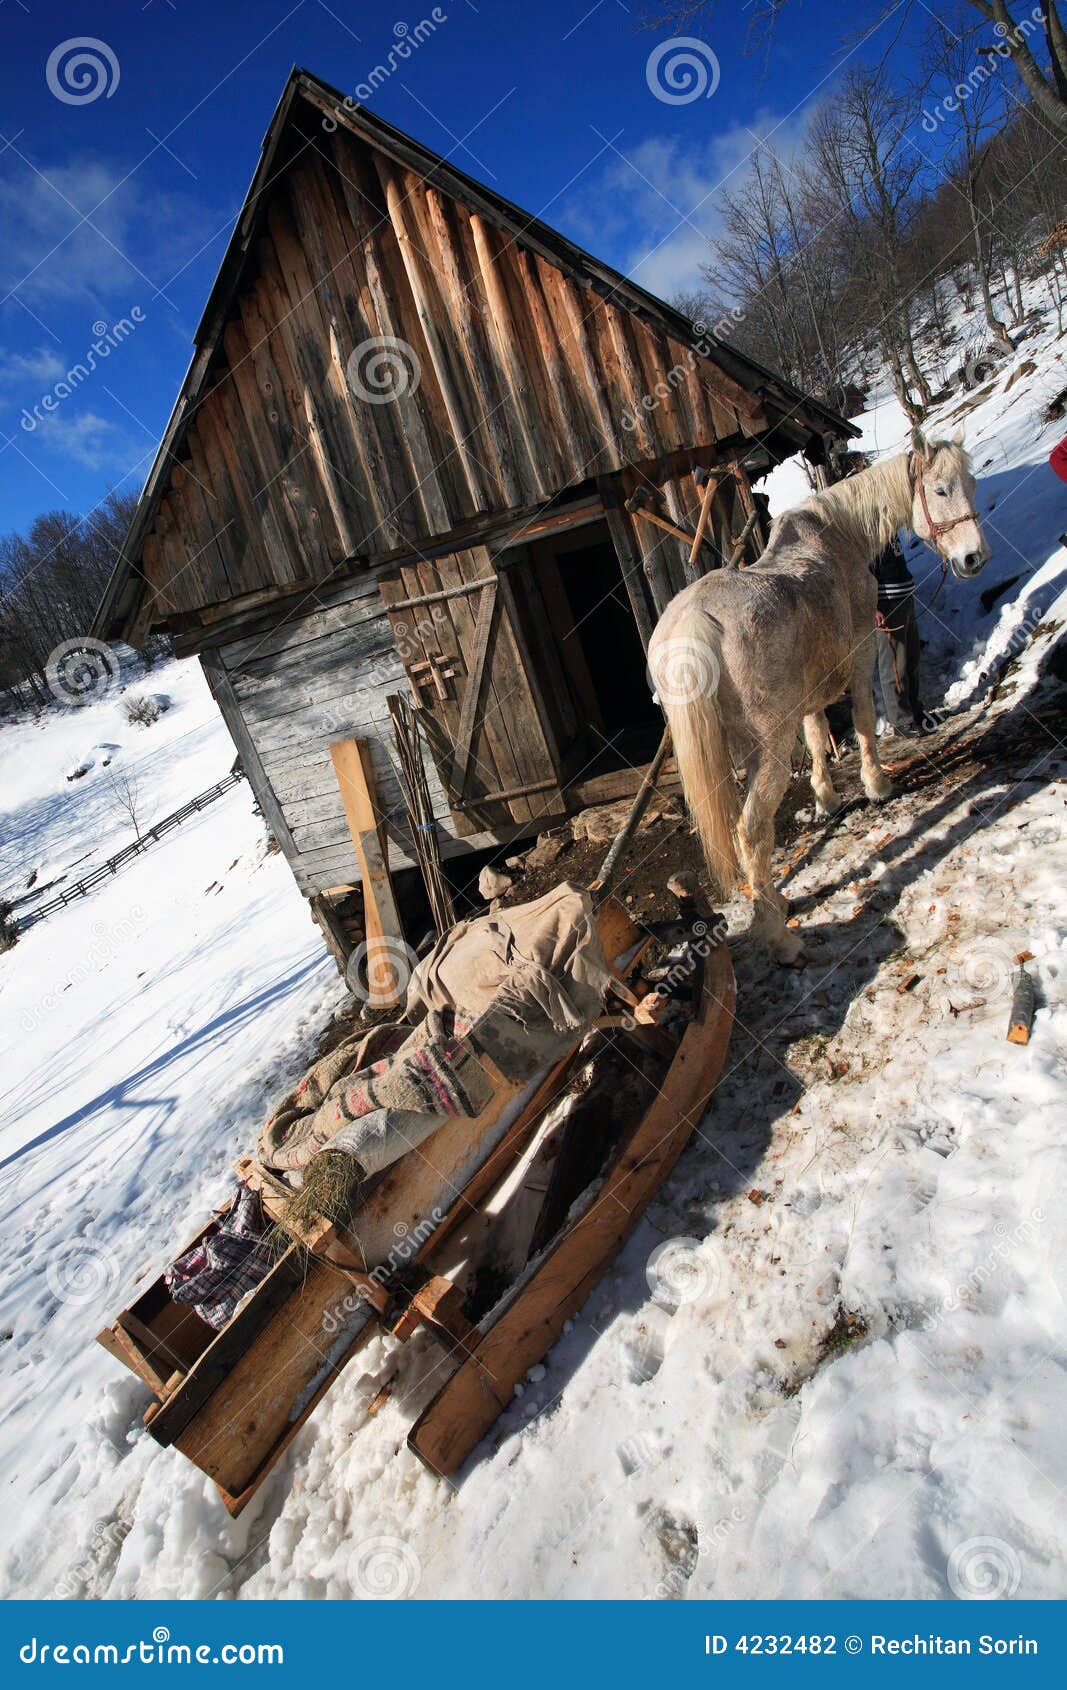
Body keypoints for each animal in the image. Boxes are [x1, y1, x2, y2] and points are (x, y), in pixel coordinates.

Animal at [647, 428, 990, 963]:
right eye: (940, 489)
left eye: (970, 484)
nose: (974, 558)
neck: (838, 535)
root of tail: (692, 623)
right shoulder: (862, 652)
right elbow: (866, 720)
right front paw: (876, 784)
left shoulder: (808, 692)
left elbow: (816, 733)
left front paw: (827, 797)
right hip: (767, 750)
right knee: (751, 831)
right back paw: (779, 935)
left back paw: (777, 903)